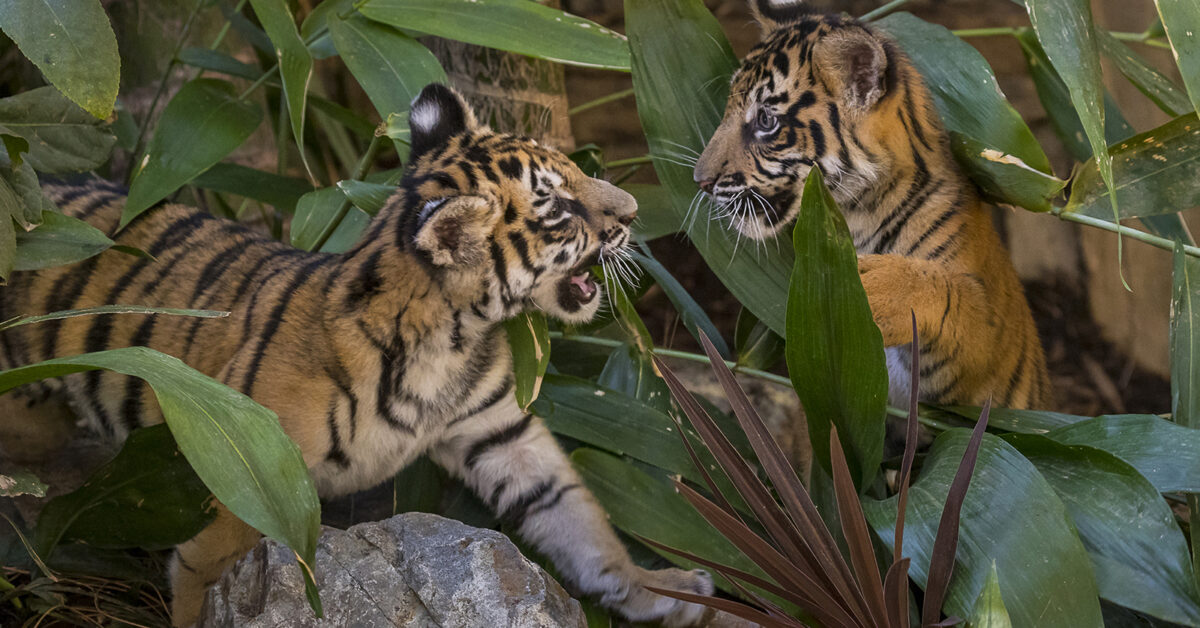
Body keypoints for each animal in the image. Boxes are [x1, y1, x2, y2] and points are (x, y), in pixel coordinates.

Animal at [0, 84, 713, 627]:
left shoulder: (501, 435)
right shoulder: (253, 475)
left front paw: (663, 592)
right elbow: (205, 570)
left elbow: (577, 519)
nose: (636, 211)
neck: (454, 338)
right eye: (559, 206)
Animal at [693, 0, 1052, 409]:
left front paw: (871, 288)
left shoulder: (988, 350)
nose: (700, 181)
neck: (854, 212)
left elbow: (954, 295)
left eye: (766, 120)